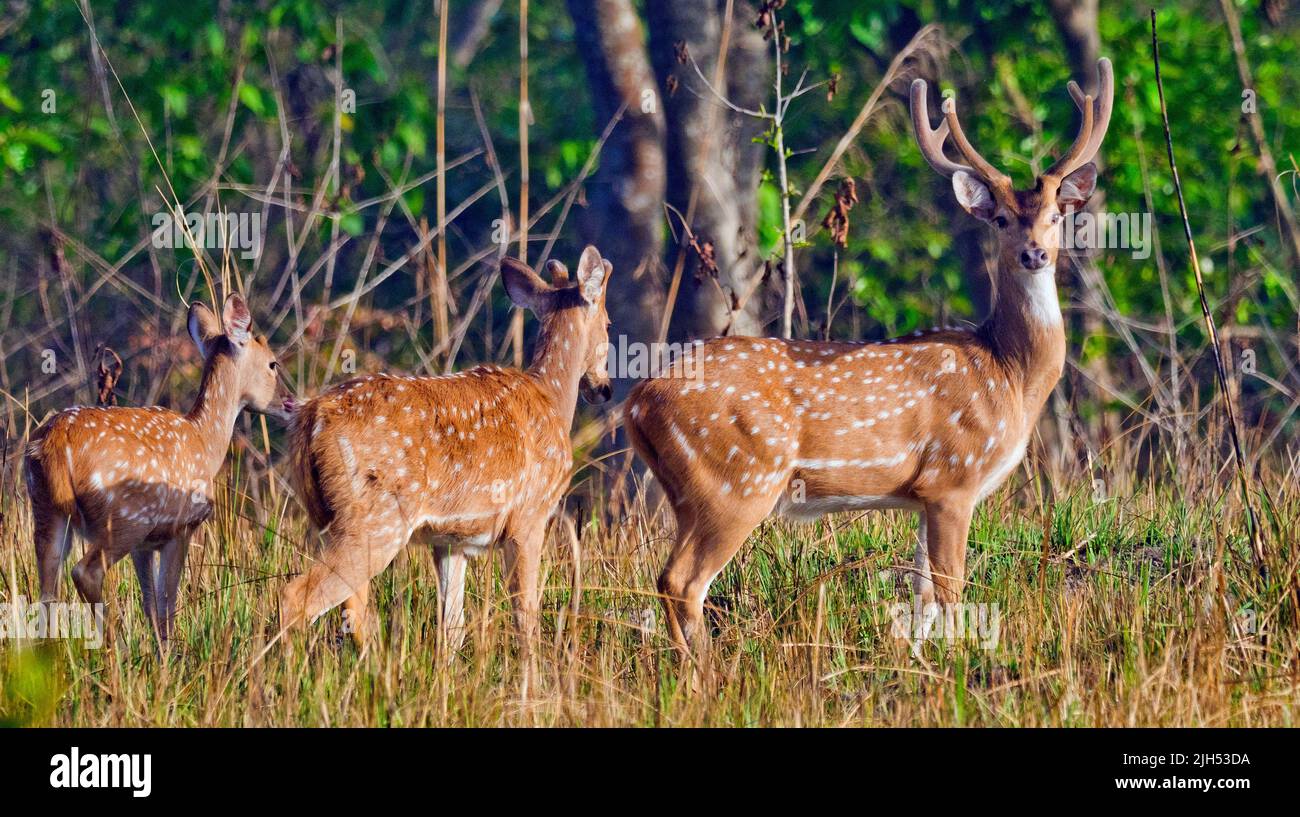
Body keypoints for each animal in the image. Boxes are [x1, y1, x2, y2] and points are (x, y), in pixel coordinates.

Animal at [24, 293, 286, 644]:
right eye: (273, 363)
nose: (288, 402)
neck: (205, 441)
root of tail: (55, 443)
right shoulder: (182, 526)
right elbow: (166, 605)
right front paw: (169, 654)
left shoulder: (145, 544)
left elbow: (149, 604)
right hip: (124, 518)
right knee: (85, 573)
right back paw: (116, 647)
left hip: (46, 511)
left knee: (47, 593)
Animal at [279, 246, 613, 673]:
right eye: (608, 323)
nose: (604, 388)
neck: (552, 397)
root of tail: (310, 419)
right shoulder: (529, 516)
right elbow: (526, 615)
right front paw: (533, 681)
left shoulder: (451, 541)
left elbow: (452, 626)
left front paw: (447, 677)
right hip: (375, 518)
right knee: (298, 598)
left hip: (325, 517)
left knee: (350, 609)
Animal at [624, 59, 1113, 658]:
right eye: (1000, 219)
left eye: (1054, 216)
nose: (1034, 253)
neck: (1009, 374)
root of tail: (637, 400)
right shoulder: (953, 478)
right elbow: (951, 589)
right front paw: (964, 662)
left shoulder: (923, 496)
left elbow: (923, 597)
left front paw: (921, 663)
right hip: (737, 481)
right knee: (683, 581)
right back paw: (708, 669)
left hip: (689, 492)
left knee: (665, 577)